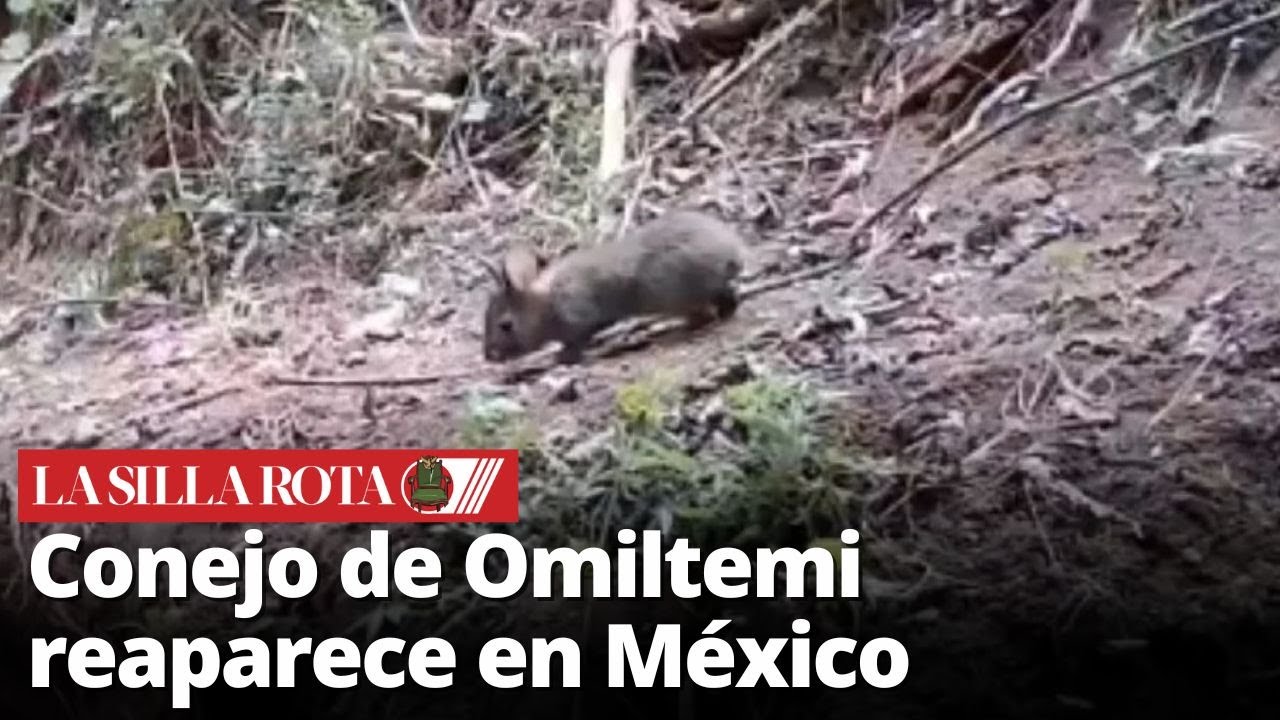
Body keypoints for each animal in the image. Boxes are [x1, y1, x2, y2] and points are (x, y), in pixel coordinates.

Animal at [480, 209, 748, 365]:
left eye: (505, 325)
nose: (488, 356)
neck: (545, 302)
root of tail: (732, 253)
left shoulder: (580, 316)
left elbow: (577, 341)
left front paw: (563, 358)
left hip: (679, 292)